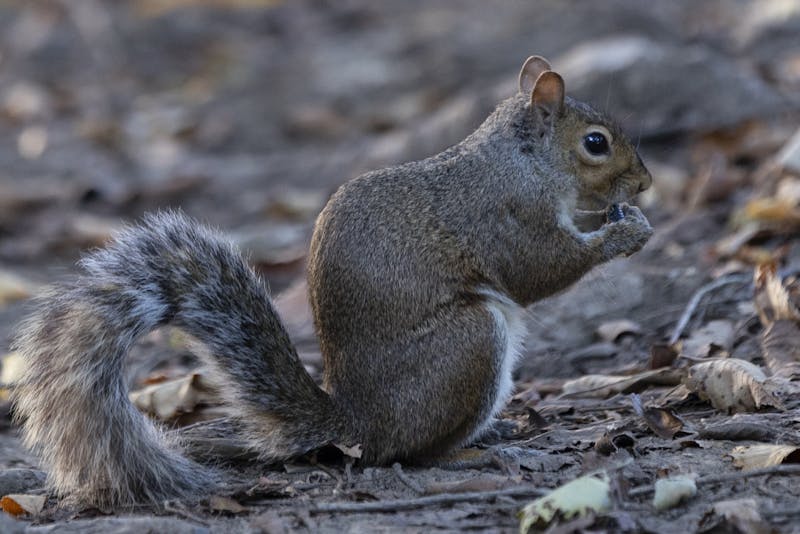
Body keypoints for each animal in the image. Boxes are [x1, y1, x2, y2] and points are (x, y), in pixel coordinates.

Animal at [11, 56, 652, 508]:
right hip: (471, 342)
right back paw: (475, 455)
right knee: (408, 455)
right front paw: (624, 235)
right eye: (595, 143)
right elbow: (538, 268)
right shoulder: (504, 215)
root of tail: (357, 420)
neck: (525, 160)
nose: (645, 183)